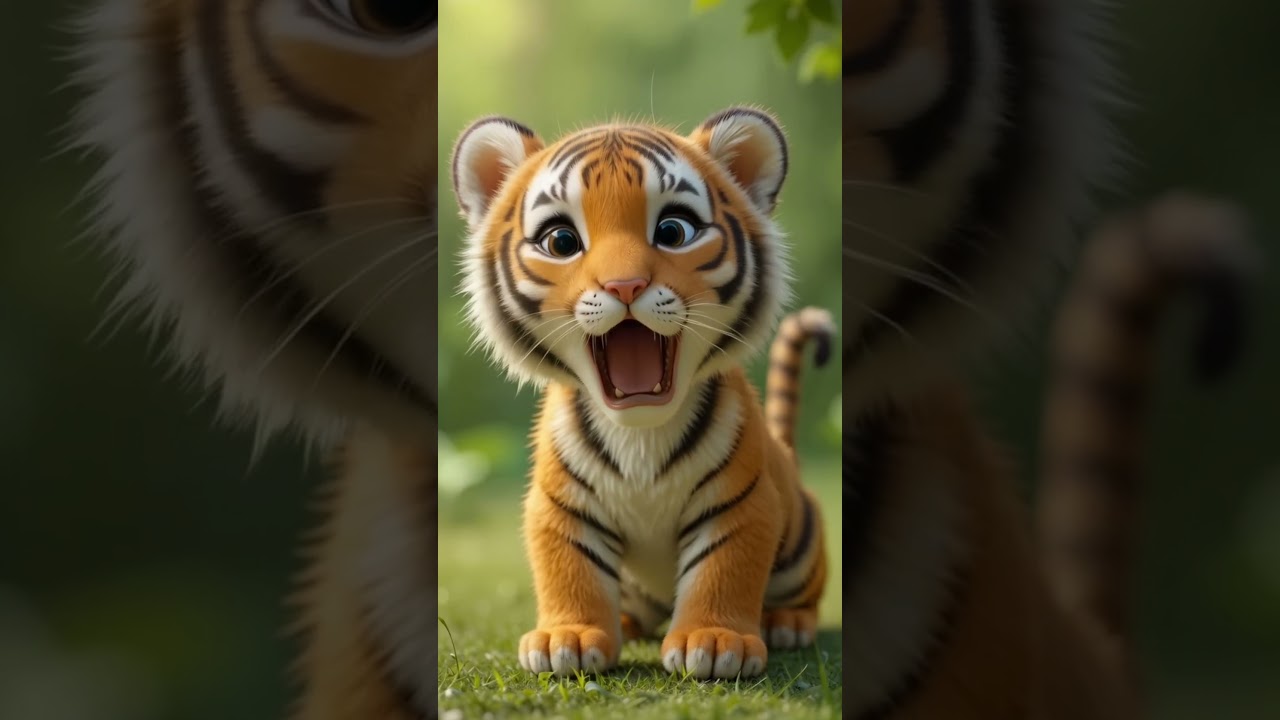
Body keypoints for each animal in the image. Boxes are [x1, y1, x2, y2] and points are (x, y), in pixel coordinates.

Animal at [449, 107, 836, 680]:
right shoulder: (559, 504)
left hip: (802, 545)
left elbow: (724, 566)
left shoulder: (741, 502)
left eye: (673, 231)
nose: (624, 285)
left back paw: (787, 623)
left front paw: (713, 641)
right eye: (561, 241)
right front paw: (567, 637)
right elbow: (568, 566)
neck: (640, 433)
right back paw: (628, 624)